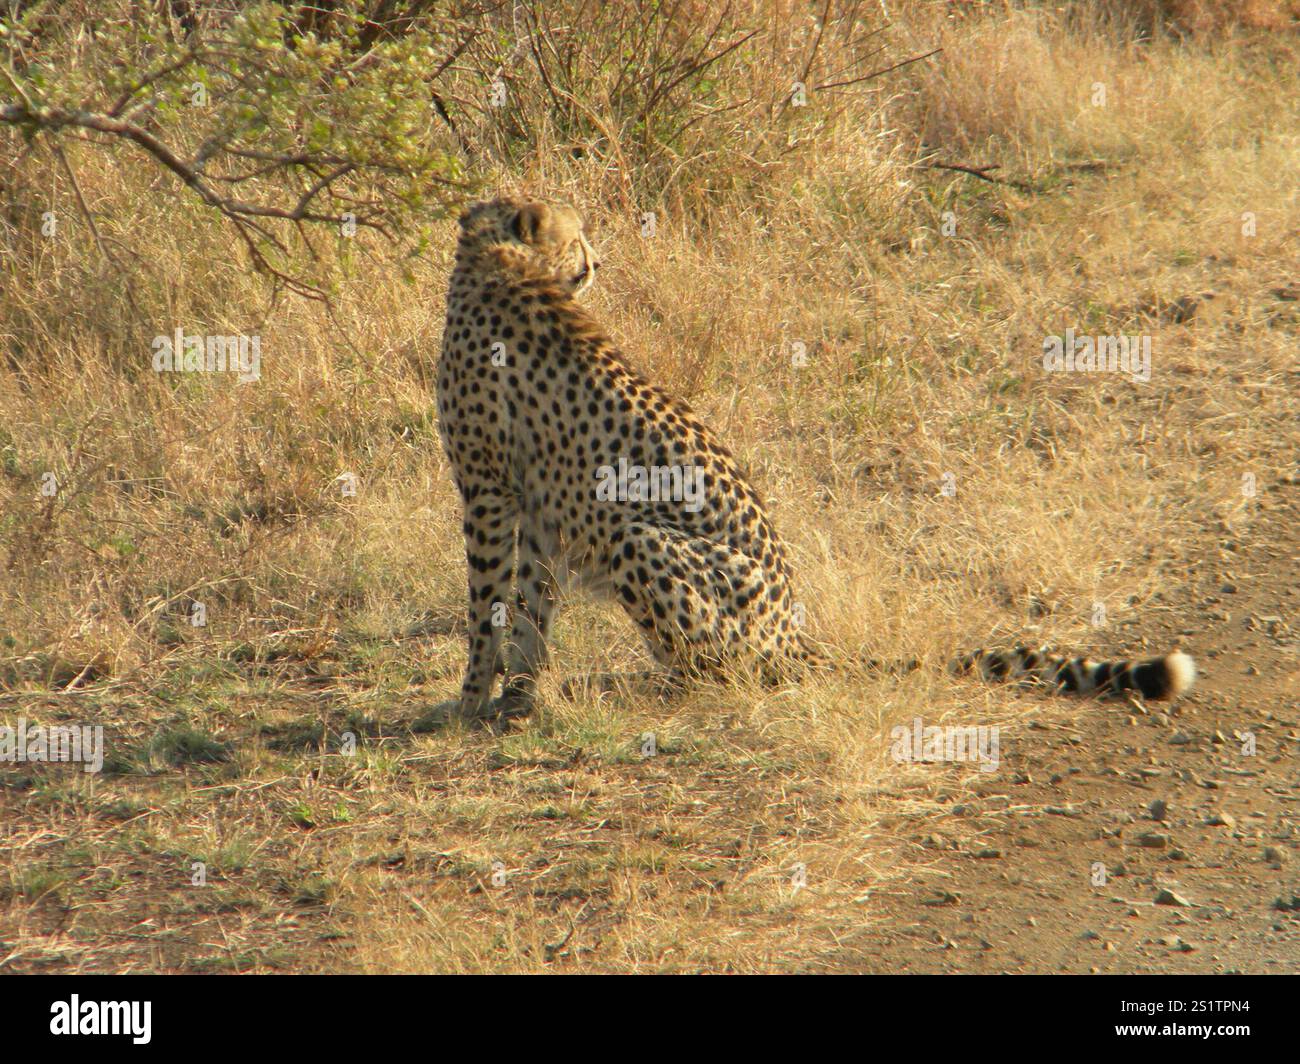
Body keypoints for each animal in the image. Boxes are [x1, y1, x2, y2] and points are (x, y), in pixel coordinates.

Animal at [434, 195, 1195, 724]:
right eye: (577, 237)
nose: (597, 261)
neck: (497, 266)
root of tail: (793, 624)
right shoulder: (529, 503)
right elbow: (527, 607)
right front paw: (515, 697)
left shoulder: (487, 492)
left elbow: (485, 604)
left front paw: (469, 700)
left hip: (642, 539)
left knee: (733, 669)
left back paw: (671, 684)